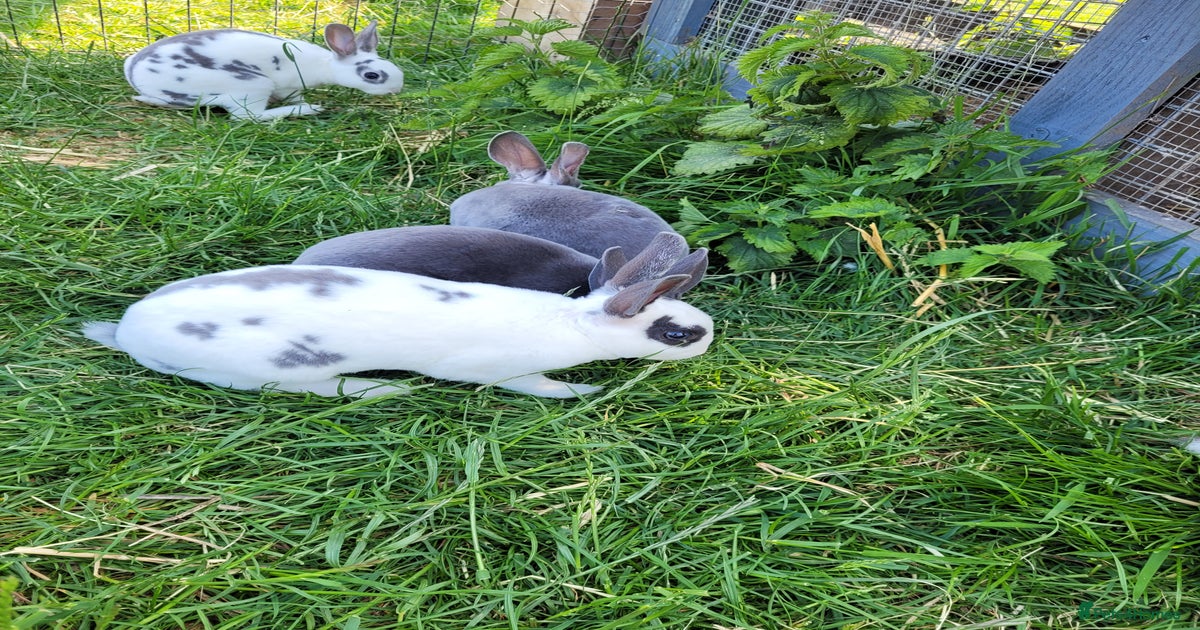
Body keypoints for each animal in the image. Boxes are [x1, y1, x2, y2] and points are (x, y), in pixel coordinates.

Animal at [81, 233, 712, 399]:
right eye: (676, 334)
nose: (710, 339)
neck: (573, 323)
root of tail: (130, 330)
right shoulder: (496, 370)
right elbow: (539, 386)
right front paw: (580, 392)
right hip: (277, 372)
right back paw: (388, 391)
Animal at [123, 20, 404, 121]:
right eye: (372, 76)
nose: (397, 88)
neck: (325, 64)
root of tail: (138, 78)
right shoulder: (289, 86)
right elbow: (293, 97)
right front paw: (304, 105)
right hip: (252, 84)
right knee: (248, 117)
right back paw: (307, 110)